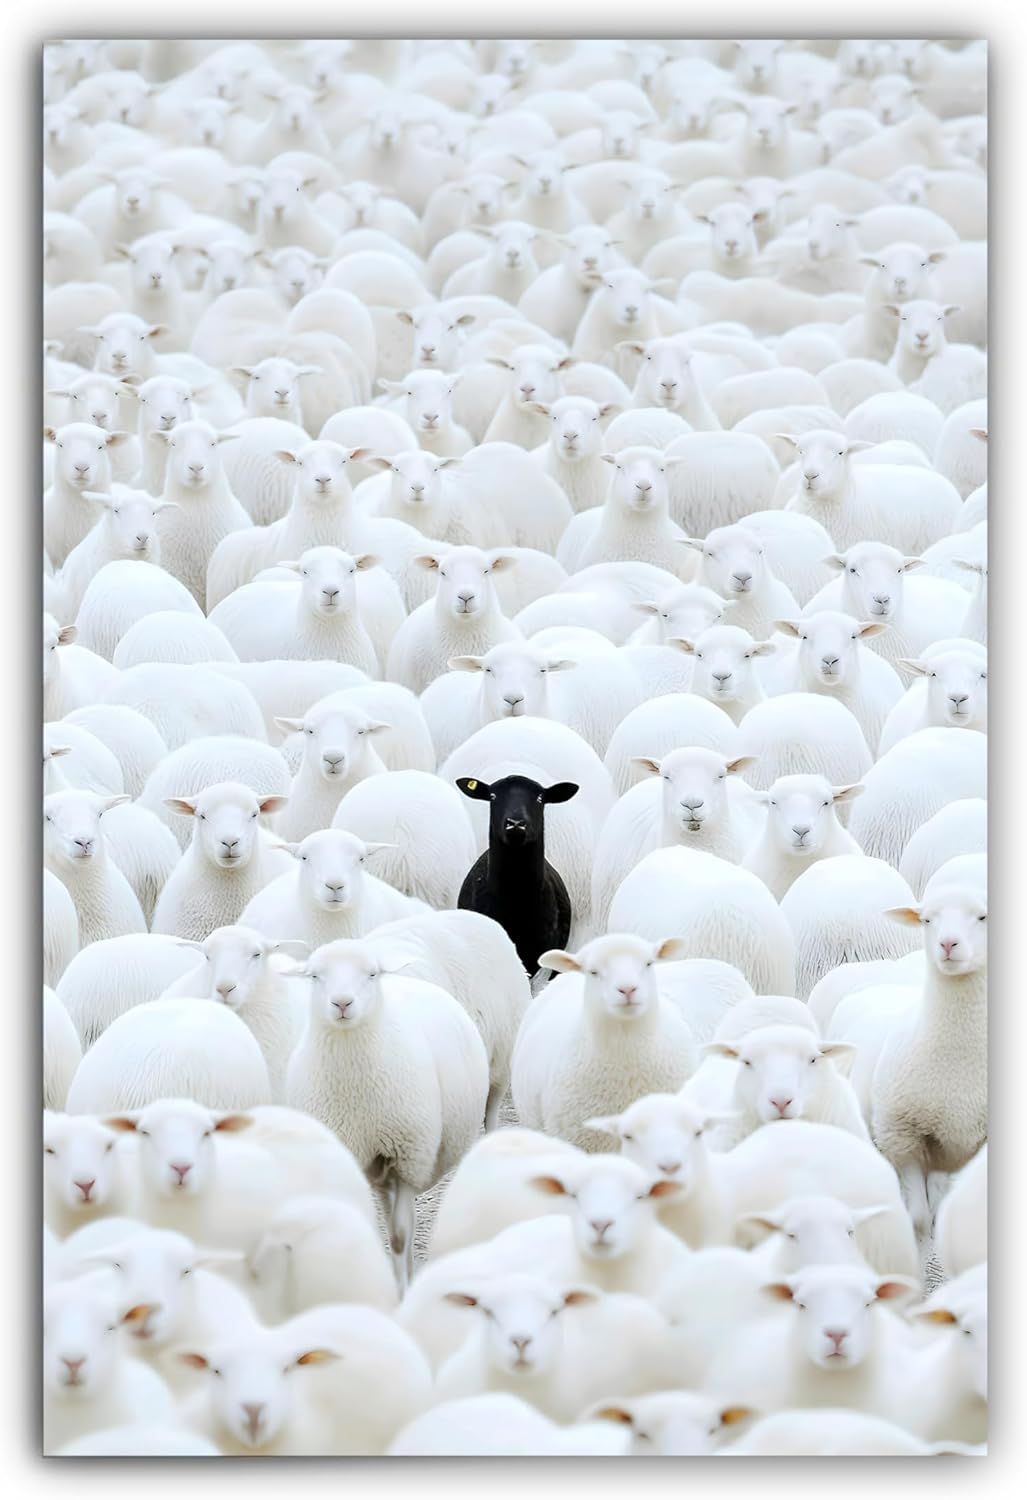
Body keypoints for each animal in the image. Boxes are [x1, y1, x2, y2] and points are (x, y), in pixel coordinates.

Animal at [285, 939, 489, 1288]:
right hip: (376, 1168)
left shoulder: (409, 1158)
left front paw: (403, 1286)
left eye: (371, 974)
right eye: (314, 976)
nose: (342, 1003)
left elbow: (400, 1234)